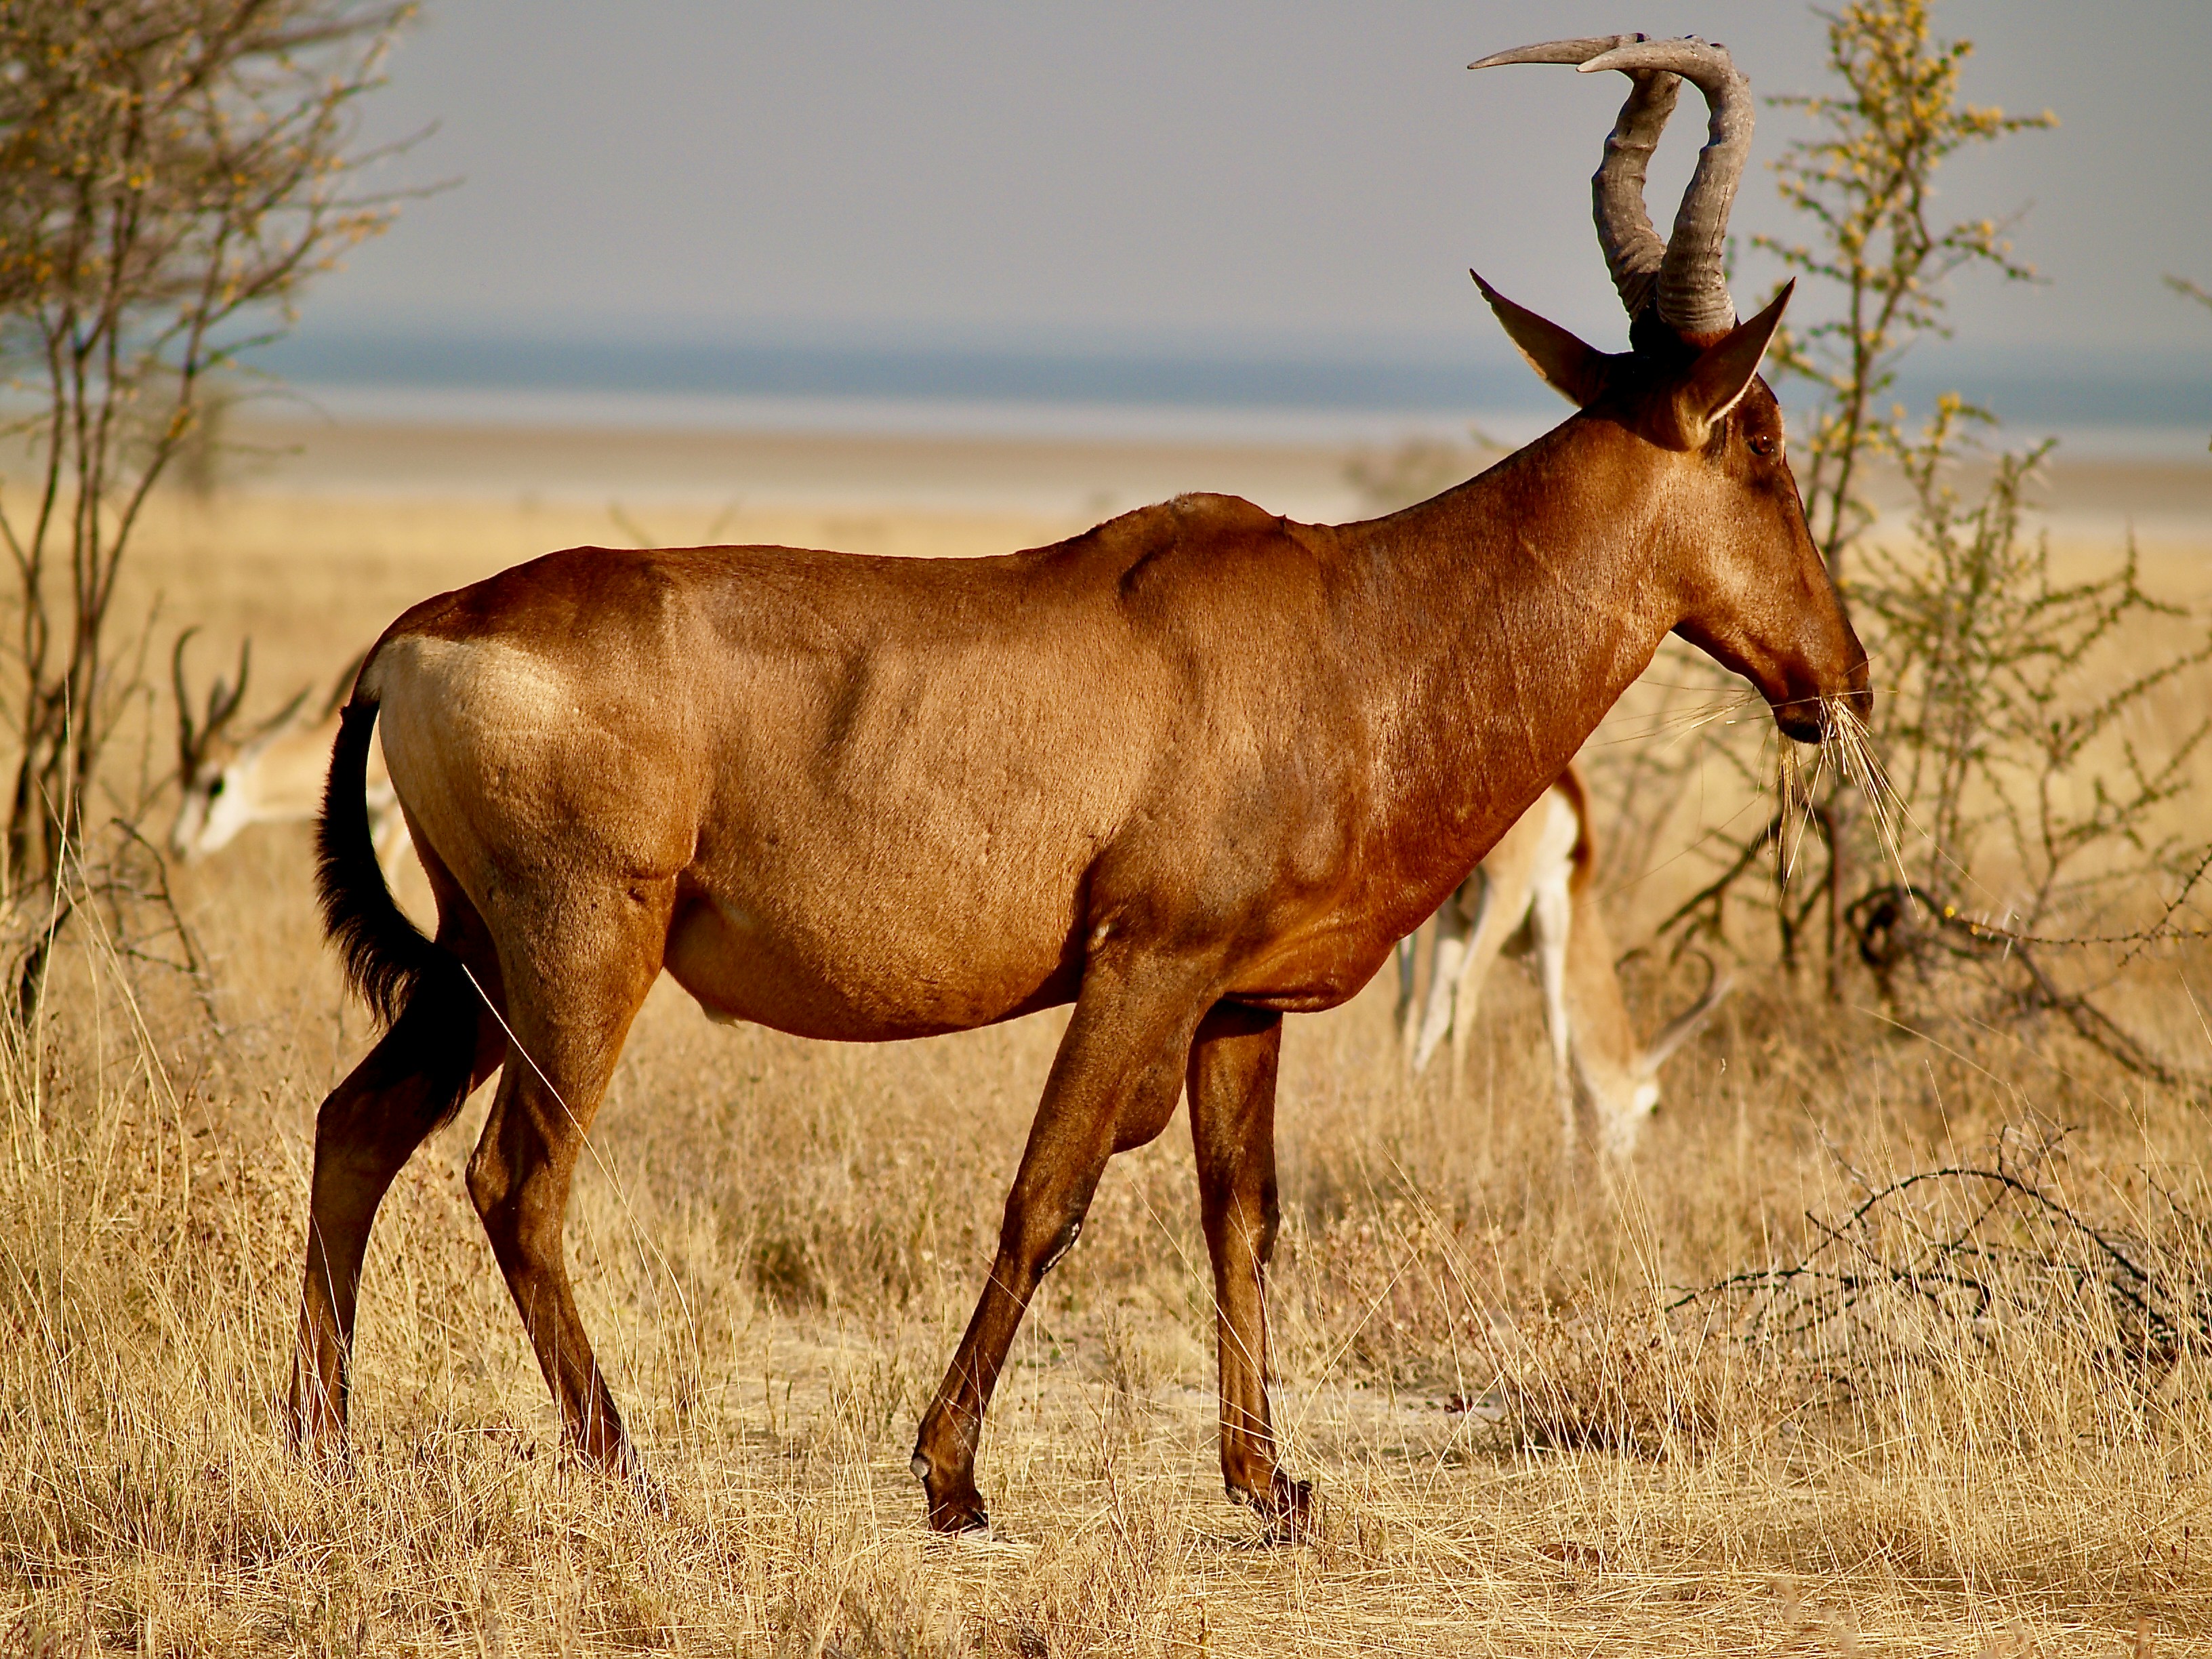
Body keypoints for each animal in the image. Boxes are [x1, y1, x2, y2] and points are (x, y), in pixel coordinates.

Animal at [1394, 766, 1731, 1157]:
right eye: (1653, 1107)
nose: (1623, 1159)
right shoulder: (1552, 917)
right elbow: (1557, 1026)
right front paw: (1567, 1141)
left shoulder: (1454, 919)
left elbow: (1433, 1014)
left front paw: (1412, 1107)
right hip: (1502, 899)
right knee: (1465, 989)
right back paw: (1455, 1111)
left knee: (1409, 999)